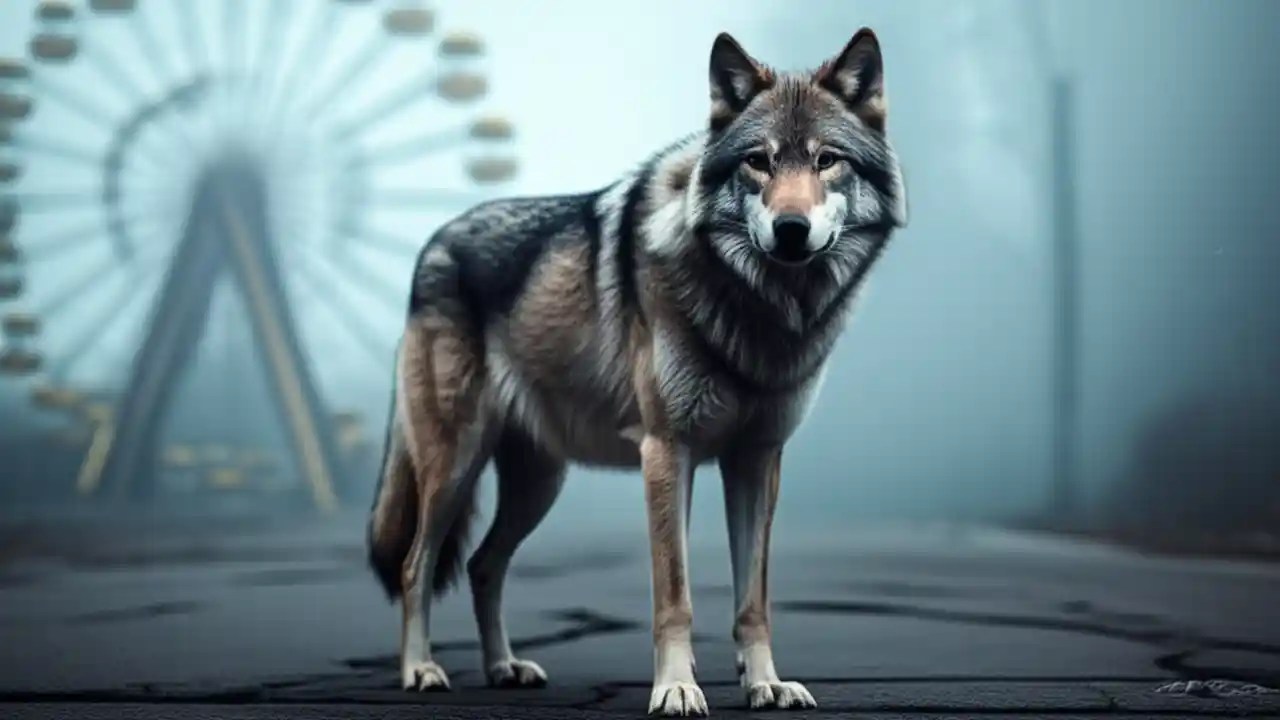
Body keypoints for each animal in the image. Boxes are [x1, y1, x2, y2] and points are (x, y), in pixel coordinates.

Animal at [366, 28, 907, 716]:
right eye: (758, 162)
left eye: (827, 160)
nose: (791, 229)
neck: (758, 310)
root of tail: (433, 243)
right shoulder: (667, 454)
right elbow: (674, 597)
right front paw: (676, 688)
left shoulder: (756, 460)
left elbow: (752, 600)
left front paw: (765, 683)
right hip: (454, 465)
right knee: (416, 564)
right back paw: (421, 669)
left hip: (538, 484)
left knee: (484, 565)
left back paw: (504, 667)